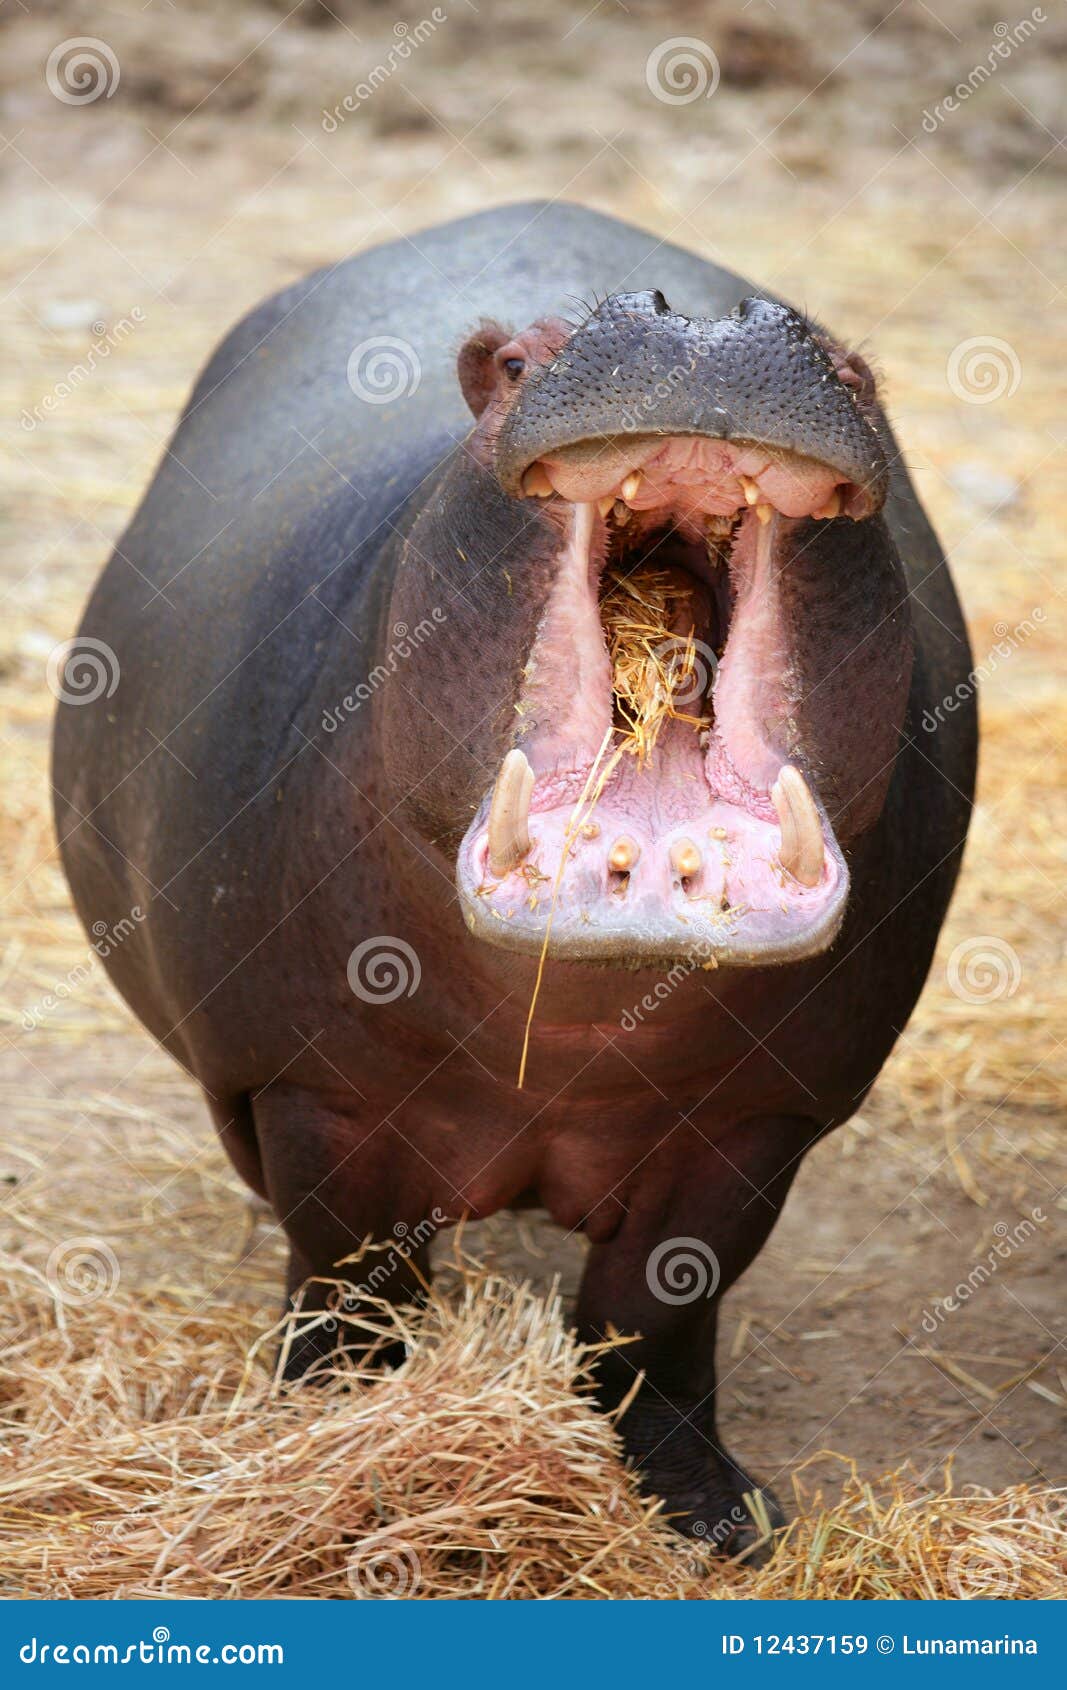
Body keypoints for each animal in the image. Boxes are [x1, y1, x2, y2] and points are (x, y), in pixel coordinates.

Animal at [52, 202, 976, 1555]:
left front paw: (711, 1513)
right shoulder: (317, 1092)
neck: (580, 1022)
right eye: (509, 363)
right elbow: (352, 1284)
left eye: (859, 374)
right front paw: (337, 1444)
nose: (706, 328)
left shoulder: (755, 1119)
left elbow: (658, 1310)